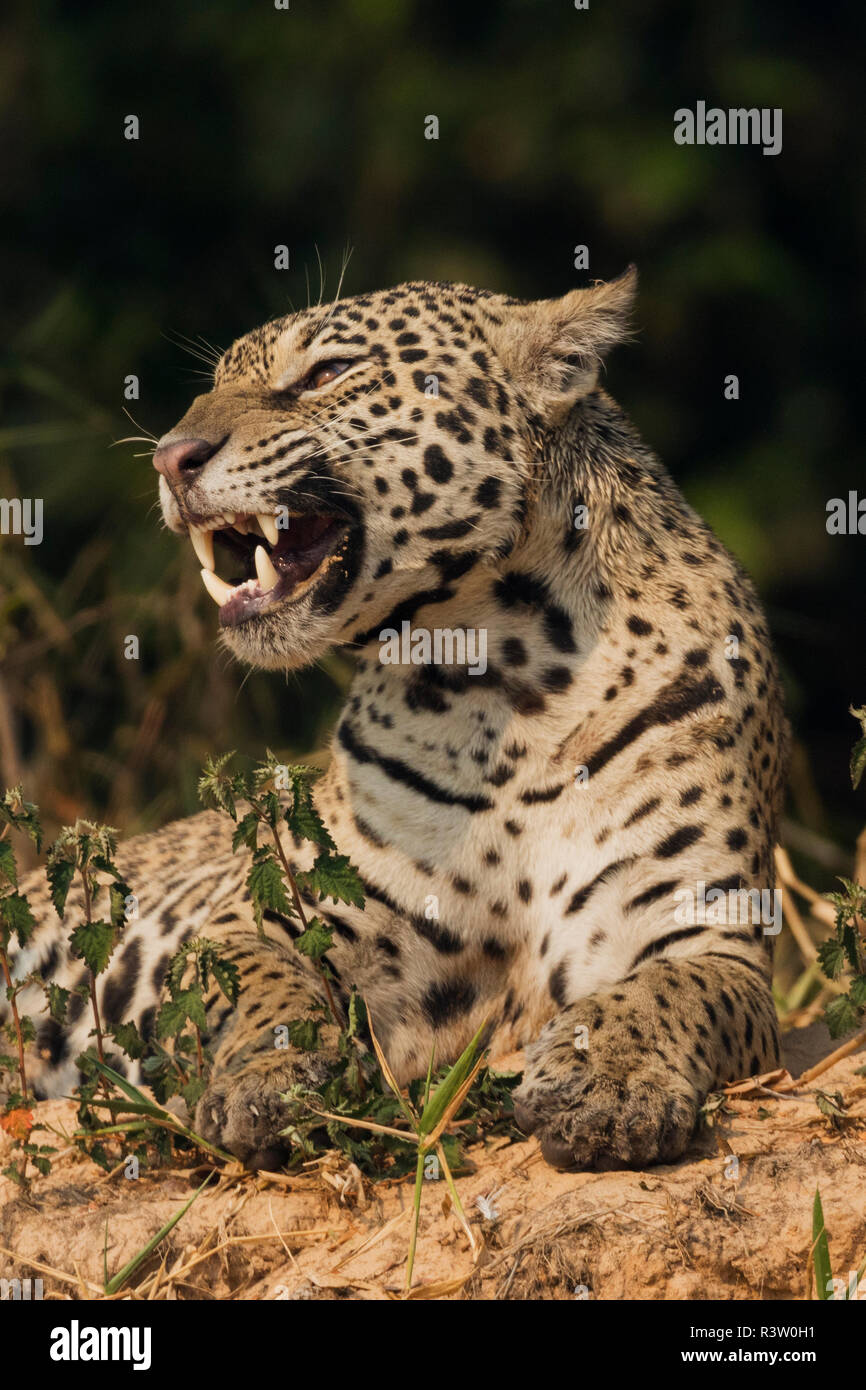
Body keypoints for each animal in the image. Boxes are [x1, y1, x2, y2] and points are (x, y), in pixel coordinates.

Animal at [6, 267, 788, 1173]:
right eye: (214, 383)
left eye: (326, 372)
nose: (171, 456)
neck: (511, 681)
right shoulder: (276, 914)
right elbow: (262, 987)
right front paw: (267, 1082)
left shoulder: (708, 928)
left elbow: (668, 991)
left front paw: (608, 1081)